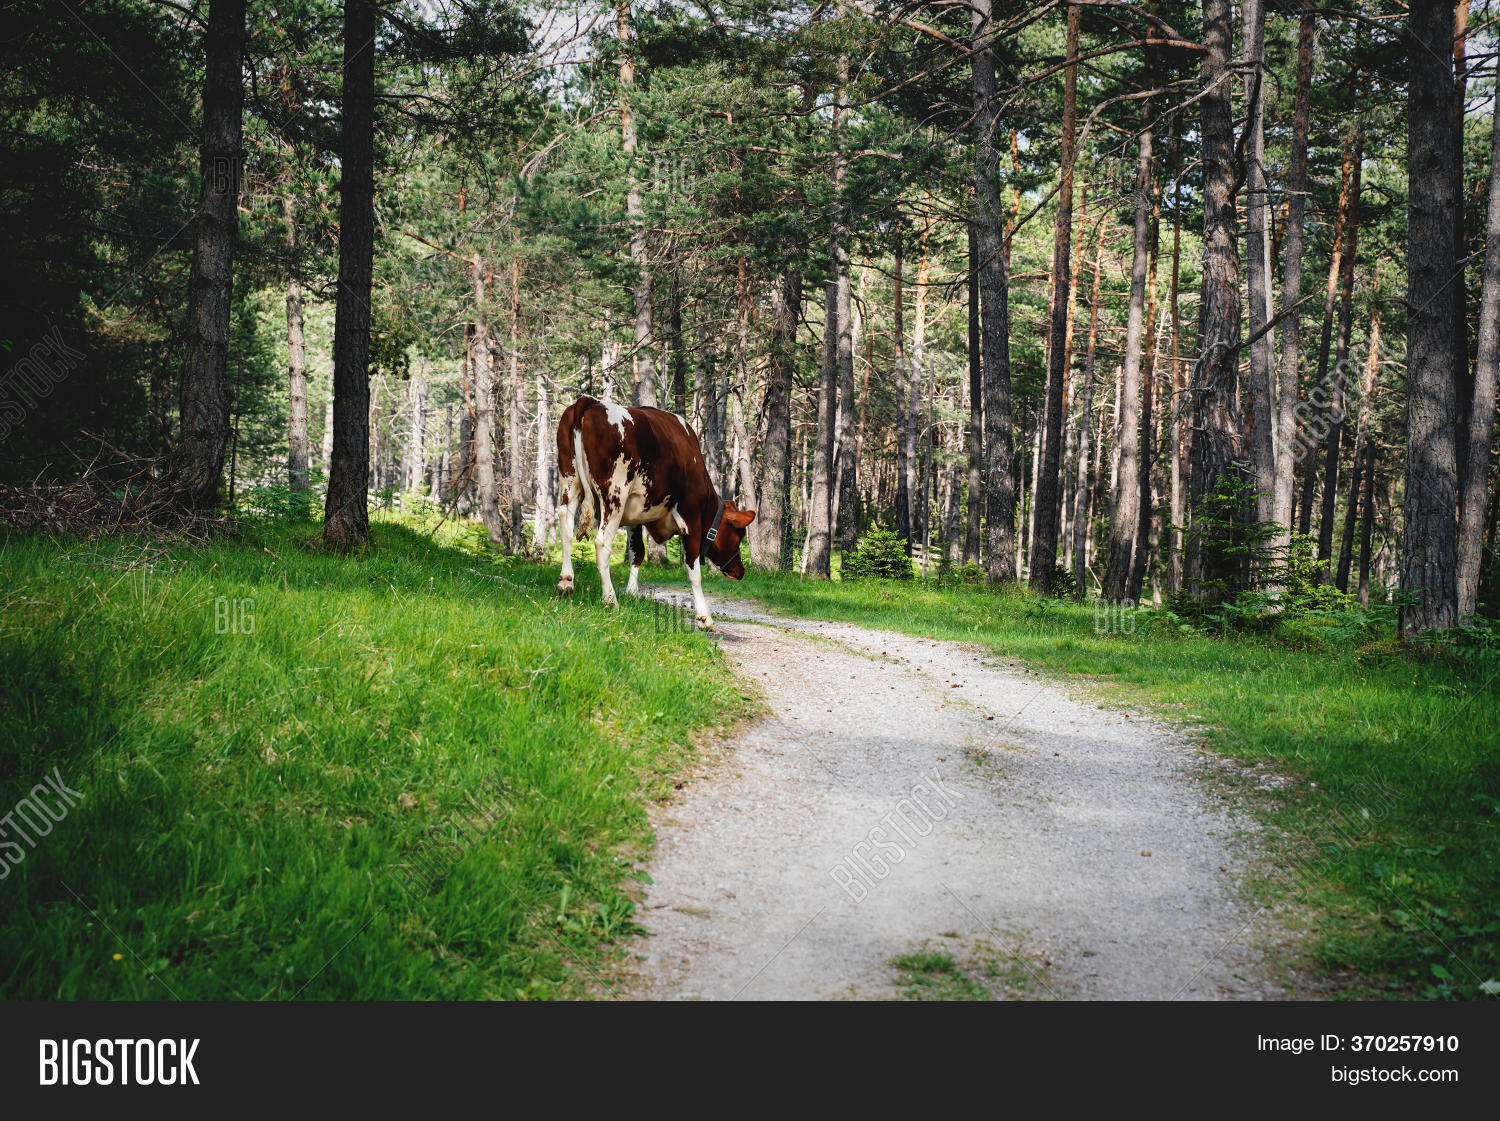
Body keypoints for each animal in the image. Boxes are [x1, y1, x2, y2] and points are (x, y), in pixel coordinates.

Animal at [554, 394, 754, 630]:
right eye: (738, 535)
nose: (740, 572)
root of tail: (589, 401)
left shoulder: (634, 516)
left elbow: (637, 552)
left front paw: (632, 593)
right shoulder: (690, 516)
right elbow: (693, 569)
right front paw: (704, 617)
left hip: (569, 482)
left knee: (565, 528)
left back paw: (566, 582)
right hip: (614, 495)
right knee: (602, 544)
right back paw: (610, 599)